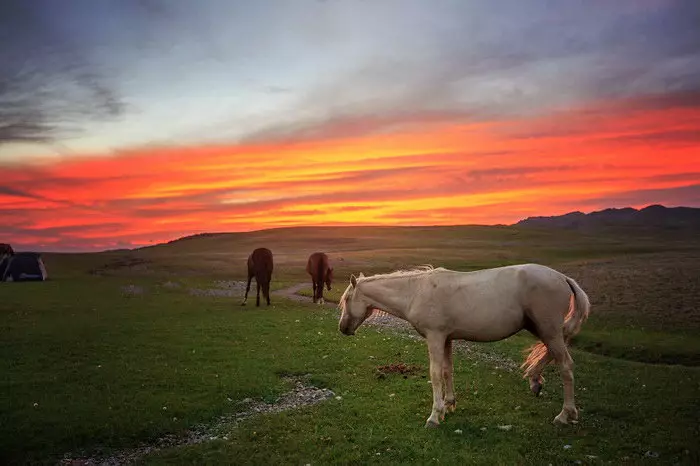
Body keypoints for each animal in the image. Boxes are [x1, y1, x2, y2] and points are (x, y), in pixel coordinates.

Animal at [336, 264, 588, 428]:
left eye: (347, 300)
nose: (343, 328)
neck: (416, 291)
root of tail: (563, 277)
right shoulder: (446, 338)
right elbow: (448, 371)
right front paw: (448, 405)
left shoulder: (435, 338)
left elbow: (435, 374)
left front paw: (434, 416)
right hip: (543, 330)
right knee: (550, 355)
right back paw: (535, 381)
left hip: (549, 330)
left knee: (566, 366)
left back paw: (565, 415)